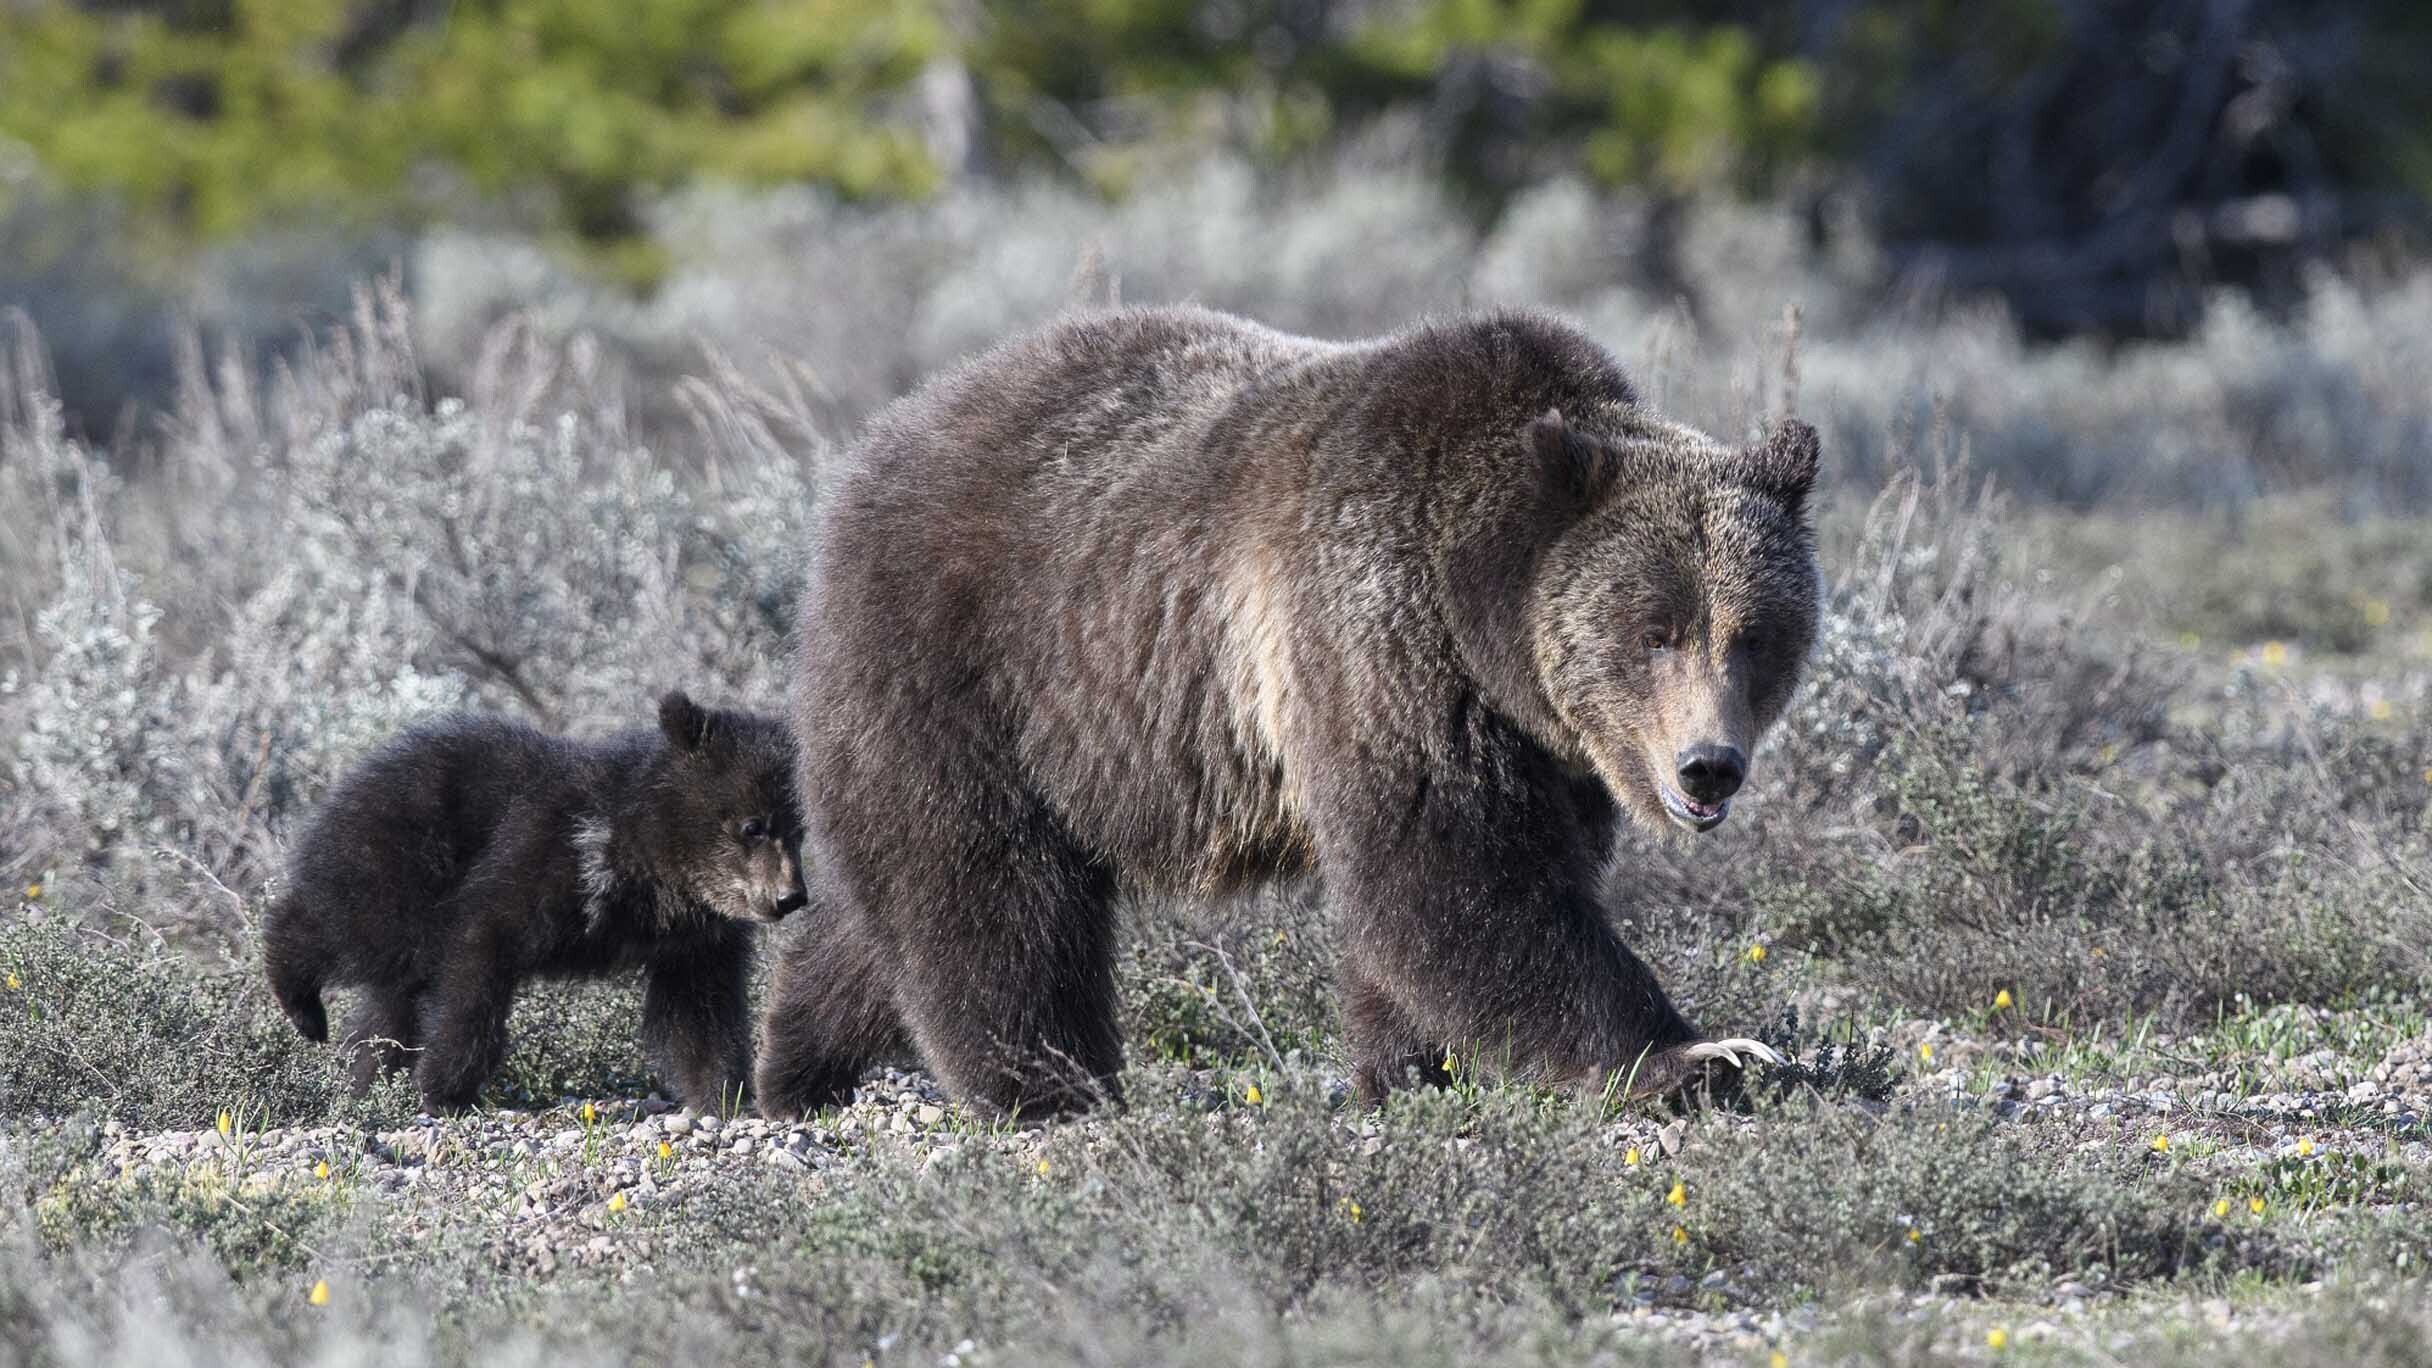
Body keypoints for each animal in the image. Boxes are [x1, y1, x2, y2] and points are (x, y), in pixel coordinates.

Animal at [263, 692, 808, 1113]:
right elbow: (476, 968)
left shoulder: (695, 941)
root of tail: (358, 771)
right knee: (355, 927)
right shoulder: (542, 863)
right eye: (753, 826)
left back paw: (367, 1080)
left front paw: (724, 1096)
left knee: (388, 1005)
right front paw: (443, 1088)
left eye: (799, 829)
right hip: (405, 862)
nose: (791, 897)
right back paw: (303, 1006)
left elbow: (702, 1014)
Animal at [754, 305, 1816, 1120]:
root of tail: (872, 447)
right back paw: (1049, 1087)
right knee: (986, 888)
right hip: (975, 662)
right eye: (1655, 630)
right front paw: (1700, 1056)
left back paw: (795, 1064)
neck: (1479, 614)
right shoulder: (1375, 636)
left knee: (891, 906)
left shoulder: (1543, 744)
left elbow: (1466, 890)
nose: (1707, 764)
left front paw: (1409, 1070)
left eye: (1755, 635)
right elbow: (1457, 874)